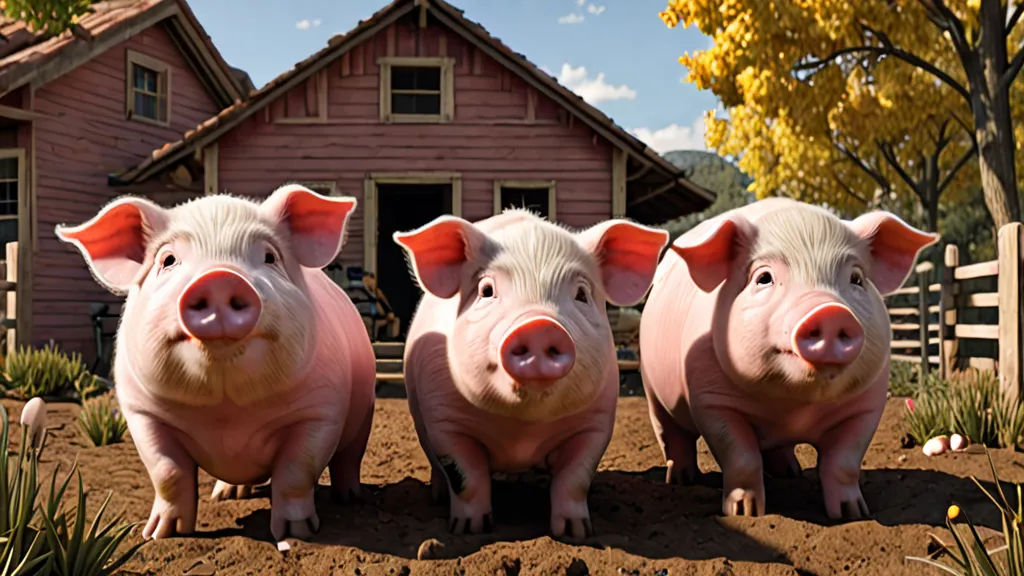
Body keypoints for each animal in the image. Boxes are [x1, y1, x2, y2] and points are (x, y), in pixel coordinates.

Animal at [54, 184, 376, 542]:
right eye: (168, 260)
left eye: (270, 257)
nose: (220, 277)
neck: (227, 414)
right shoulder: (142, 412)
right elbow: (167, 472)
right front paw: (160, 535)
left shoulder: (321, 410)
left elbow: (296, 471)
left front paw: (296, 534)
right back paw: (224, 495)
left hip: (364, 413)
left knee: (348, 458)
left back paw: (350, 497)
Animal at [393, 210, 668, 539]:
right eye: (487, 290)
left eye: (581, 294)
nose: (540, 325)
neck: (523, 428)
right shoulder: (444, 419)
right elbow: (465, 477)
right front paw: (469, 529)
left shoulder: (595, 423)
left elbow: (575, 479)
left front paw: (575, 532)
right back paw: (437, 496)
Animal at [639, 197, 938, 519]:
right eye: (764, 278)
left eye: (856, 279)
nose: (830, 311)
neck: (793, 407)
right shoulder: (711, 400)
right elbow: (741, 457)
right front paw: (745, 514)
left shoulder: (867, 404)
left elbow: (844, 463)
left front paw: (853, 514)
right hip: (653, 393)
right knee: (672, 436)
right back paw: (680, 479)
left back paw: (789, 472)